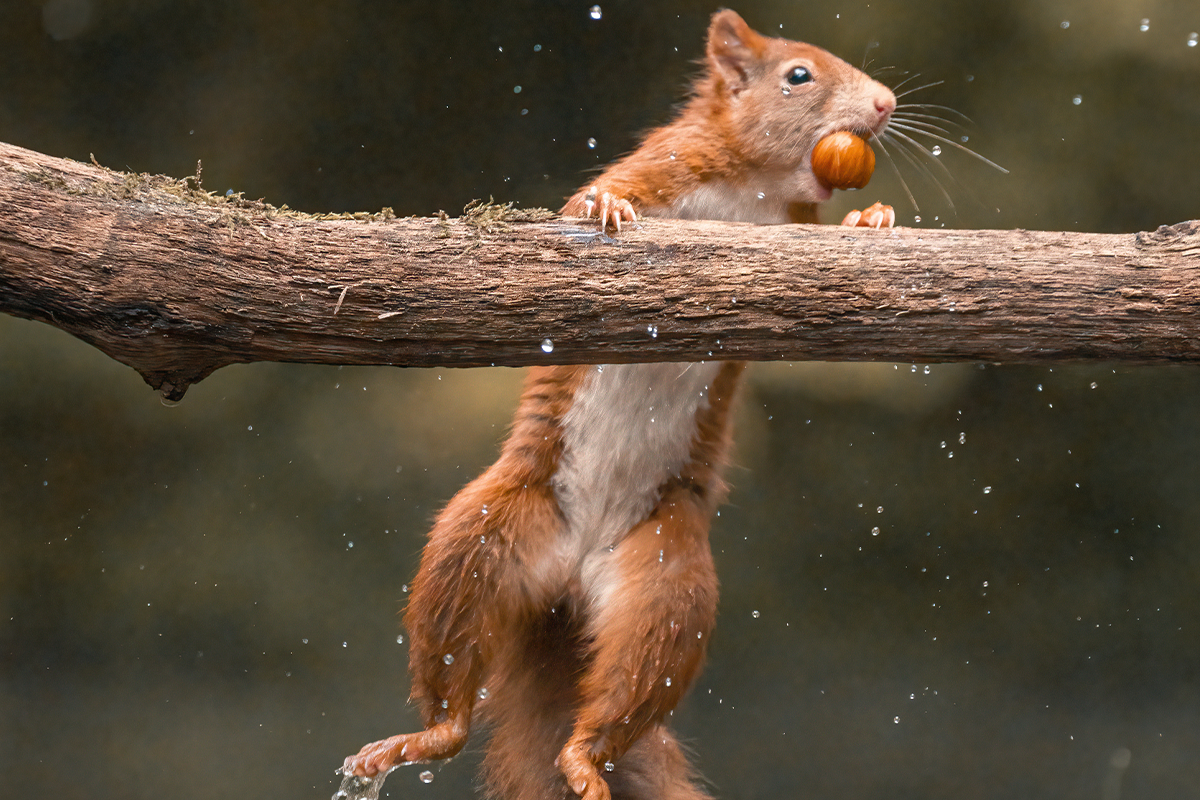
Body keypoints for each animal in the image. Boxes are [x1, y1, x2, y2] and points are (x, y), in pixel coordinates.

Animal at [343, 9, 896, 800]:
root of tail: (569, 583)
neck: (754, 186)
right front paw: (602, 205)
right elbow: (585, 203)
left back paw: (583, 758)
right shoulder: (664, 164)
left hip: (666, 584)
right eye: (798, 75)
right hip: (480, 539)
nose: (884, 103)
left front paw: (872, 219)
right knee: (452, 681)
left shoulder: (791, 233)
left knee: (628, 687)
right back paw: (427, 735)